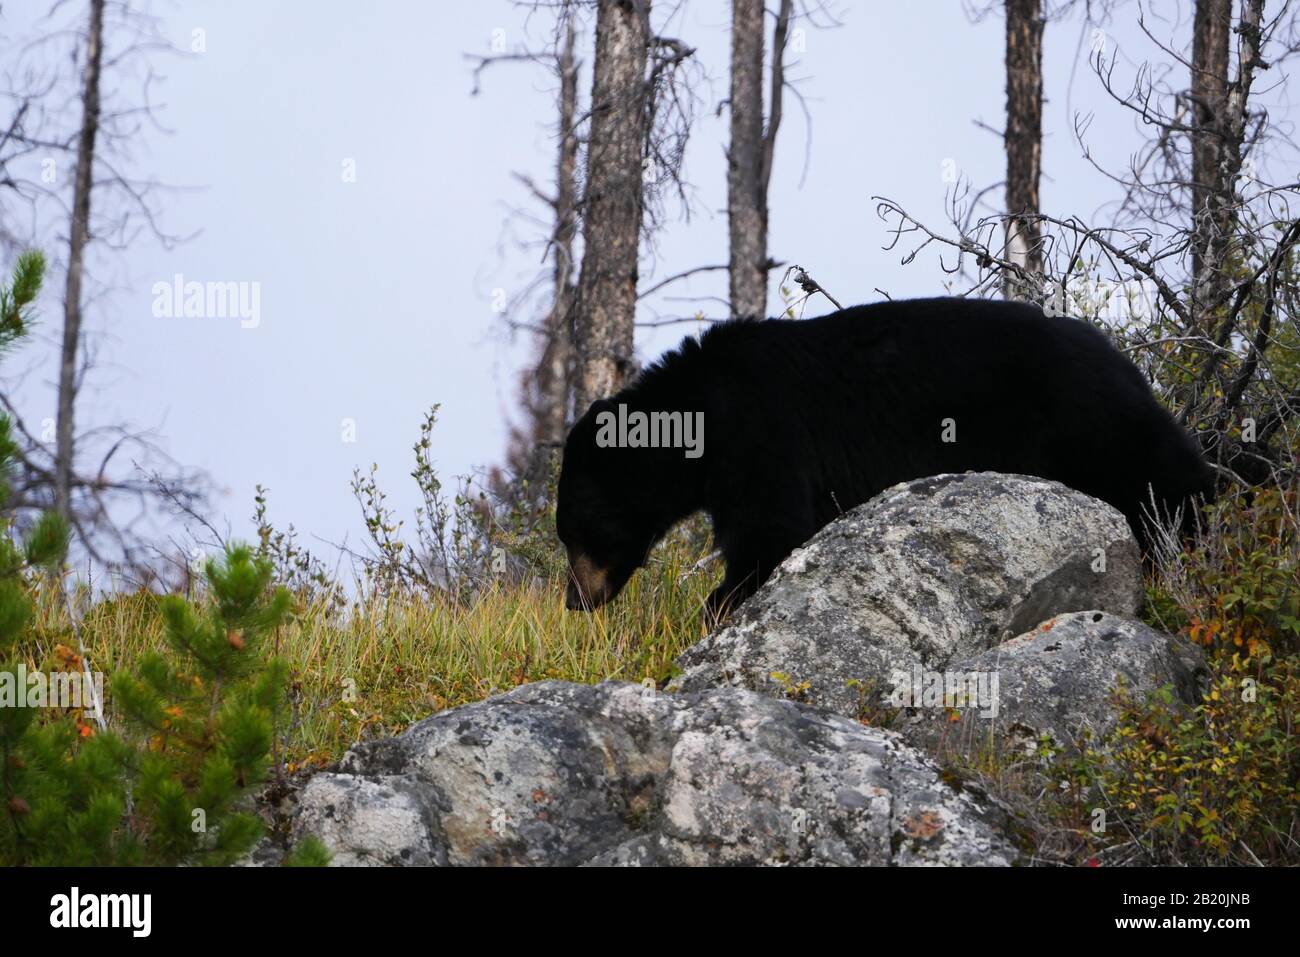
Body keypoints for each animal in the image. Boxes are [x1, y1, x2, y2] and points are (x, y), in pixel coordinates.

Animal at [556, 297, 1215, 623]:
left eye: (574, 533)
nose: (573, 600)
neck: (701, 414)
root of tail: (1120, 354)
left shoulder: (764, 435)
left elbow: (771, 529)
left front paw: (720, 604)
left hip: (1079, 415)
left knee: (1158, 477)